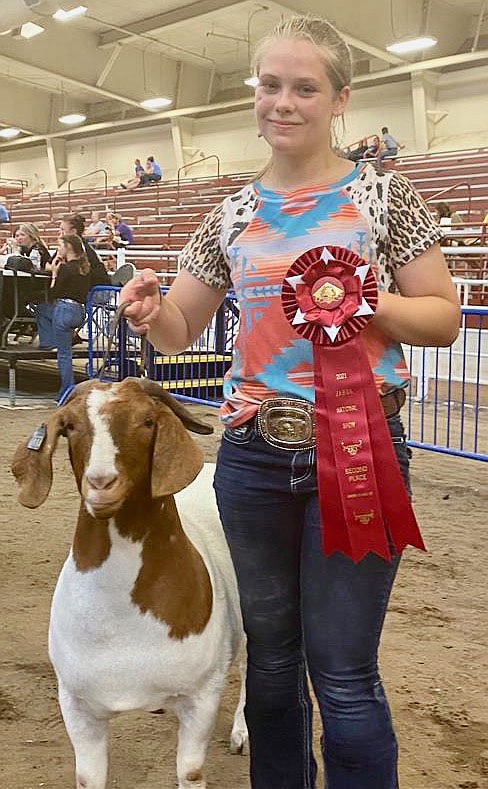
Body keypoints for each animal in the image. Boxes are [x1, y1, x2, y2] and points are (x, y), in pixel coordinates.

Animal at [12, 377, 247, 789]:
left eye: (148, 421)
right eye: (69, 425)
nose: (101, 483)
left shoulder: (201, 696)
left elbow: (190, 771)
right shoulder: (76, 704)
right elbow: (88, 777)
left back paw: (240, 734)